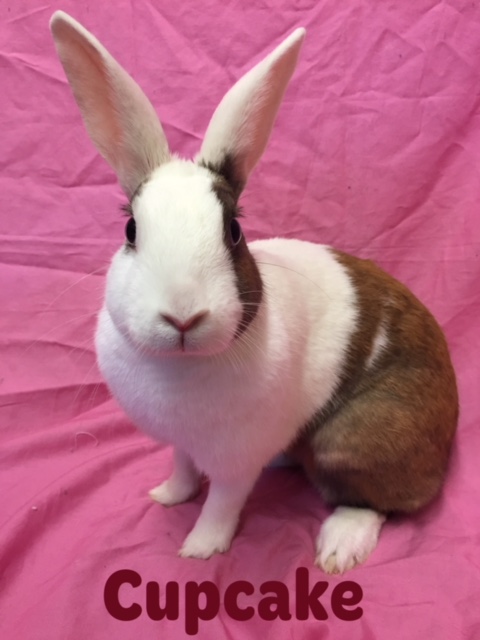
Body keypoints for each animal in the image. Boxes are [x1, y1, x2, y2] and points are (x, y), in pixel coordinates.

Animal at [50, 11, 458, 574]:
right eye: (131, 230)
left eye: (234, 231)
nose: (183, 317)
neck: (180, 368)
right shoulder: (182, 444)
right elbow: (182, 468)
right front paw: (167, 496)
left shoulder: (236, 461)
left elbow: (222, 503)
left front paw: (200, 547)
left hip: (354, 441)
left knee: (384, 500)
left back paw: (339, 546)